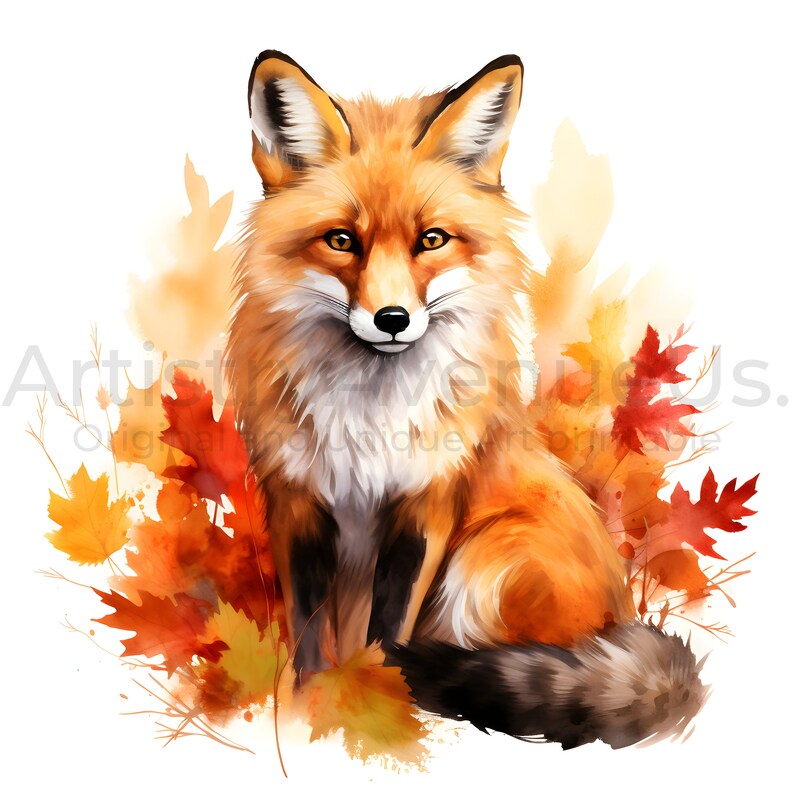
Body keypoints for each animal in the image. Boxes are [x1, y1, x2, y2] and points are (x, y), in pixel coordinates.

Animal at [226, 49, 707, 749]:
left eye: (431, 239)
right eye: (342, 240)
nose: (392, 319)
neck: (367, 418)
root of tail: (623, 616)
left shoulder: (425, 504)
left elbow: (386, 632)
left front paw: (374, 699)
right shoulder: (297, 503)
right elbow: (311, 639)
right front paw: (310, 705)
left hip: (487, 563)